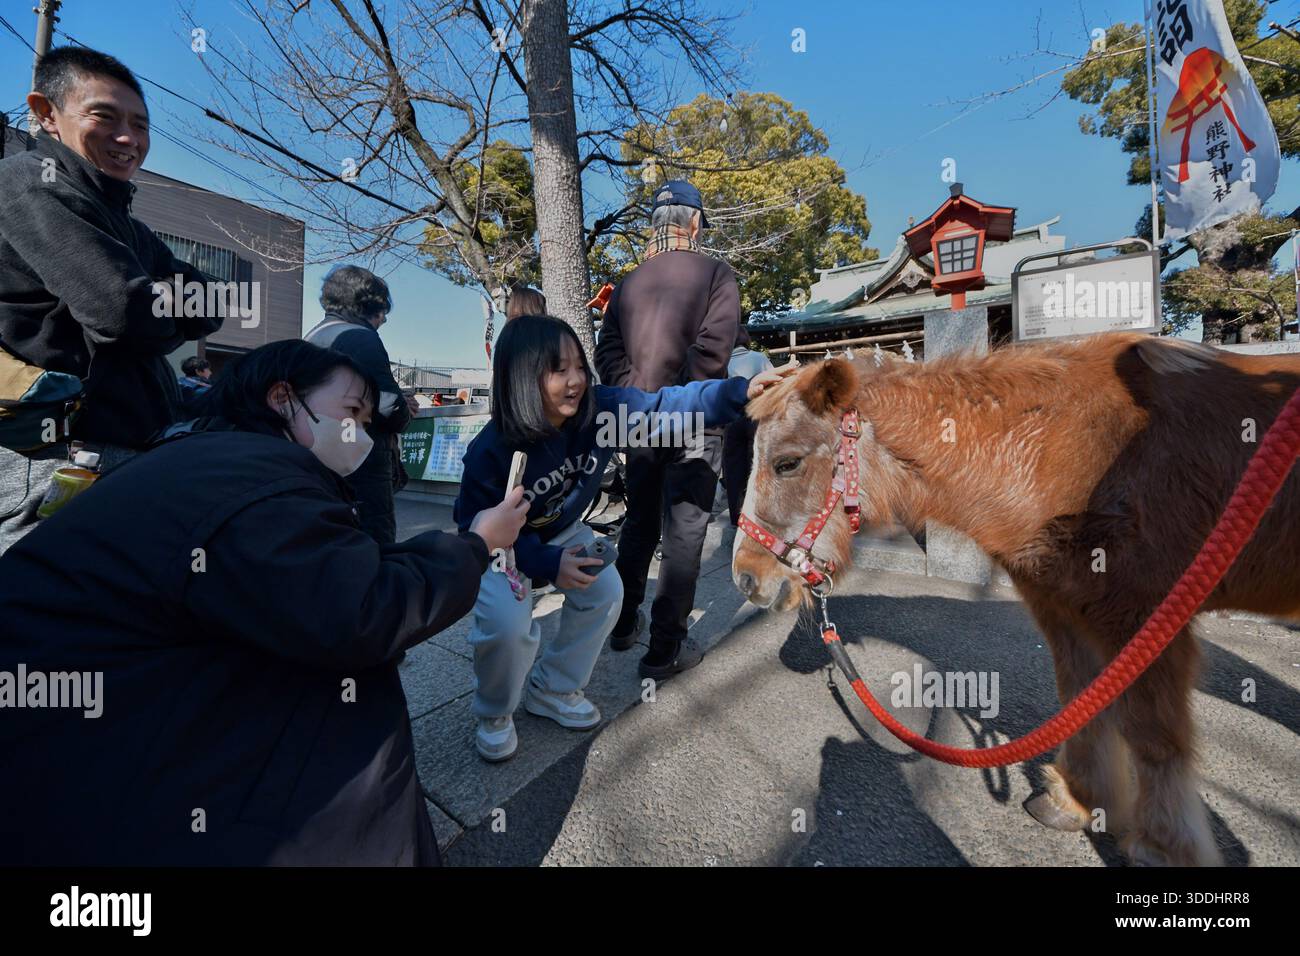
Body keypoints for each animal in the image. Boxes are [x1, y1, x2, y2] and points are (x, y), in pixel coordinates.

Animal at [732, 332, 1300, 866]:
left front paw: (1161, 848)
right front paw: (1078, 799)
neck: (1047, 452)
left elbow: (1152, 734)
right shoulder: (1064, 605)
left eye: (787, 464)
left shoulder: (1140, 614)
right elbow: (1081, 699)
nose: (745, 579)